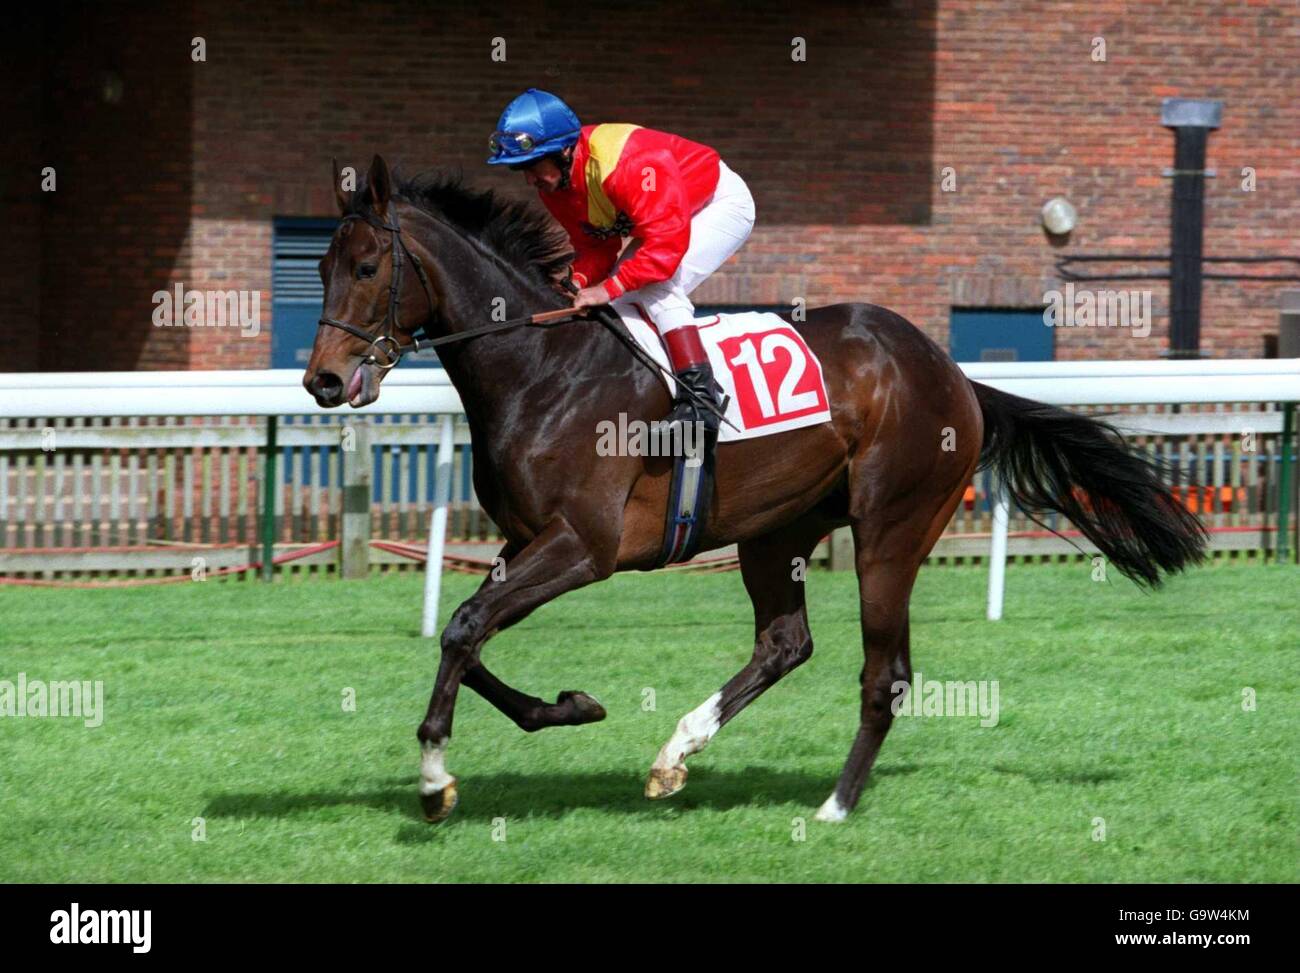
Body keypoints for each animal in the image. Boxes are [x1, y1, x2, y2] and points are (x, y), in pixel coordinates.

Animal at [303, 155, 1206, 823]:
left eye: (367, 265)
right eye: (318, 265)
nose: (322, 380)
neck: (541, 368)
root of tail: (954, 377)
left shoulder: (584, 546)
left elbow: (464, 627)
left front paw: (433, 780)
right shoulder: (527, 539)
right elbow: (469, 635)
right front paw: (572, 706)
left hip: (891, 527)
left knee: (885, 672)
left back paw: (835, 804)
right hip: (777, 528)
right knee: (784, 643)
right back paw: (676, 754)